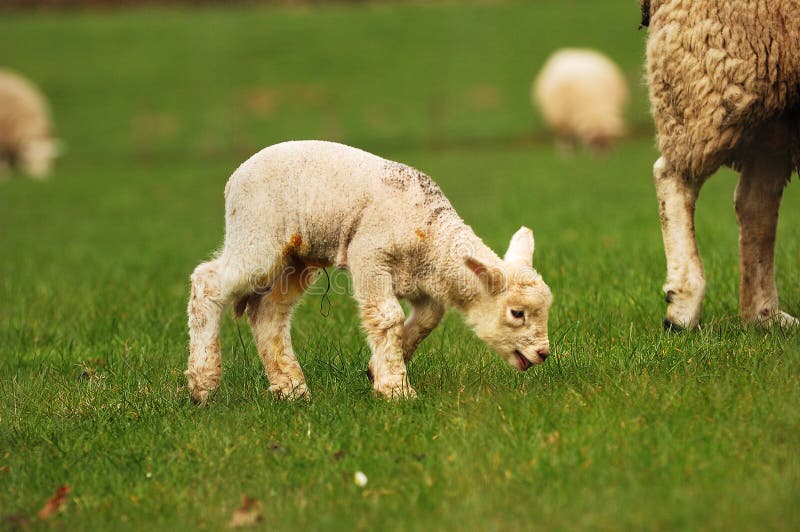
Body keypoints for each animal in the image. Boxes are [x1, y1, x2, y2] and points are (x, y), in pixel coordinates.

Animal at [186, 140, 553, 402]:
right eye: (517, 313)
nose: (544, 354)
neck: (433, 239)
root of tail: (234, 178)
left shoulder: (421, 282)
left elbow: (428, 318)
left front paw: (379, 368)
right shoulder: (369, 255)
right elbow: (387, 316)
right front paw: (395, 389)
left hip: (295, 260)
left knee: (268, 313)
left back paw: (292, 388)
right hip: (256, 236)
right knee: (208, 282)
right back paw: (203, 384)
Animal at [641, 0, 800, 329]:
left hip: (778, 105)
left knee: (754, 203)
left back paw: (766, 317)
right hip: (721, 68)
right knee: (673, 175)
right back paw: (683, 307)